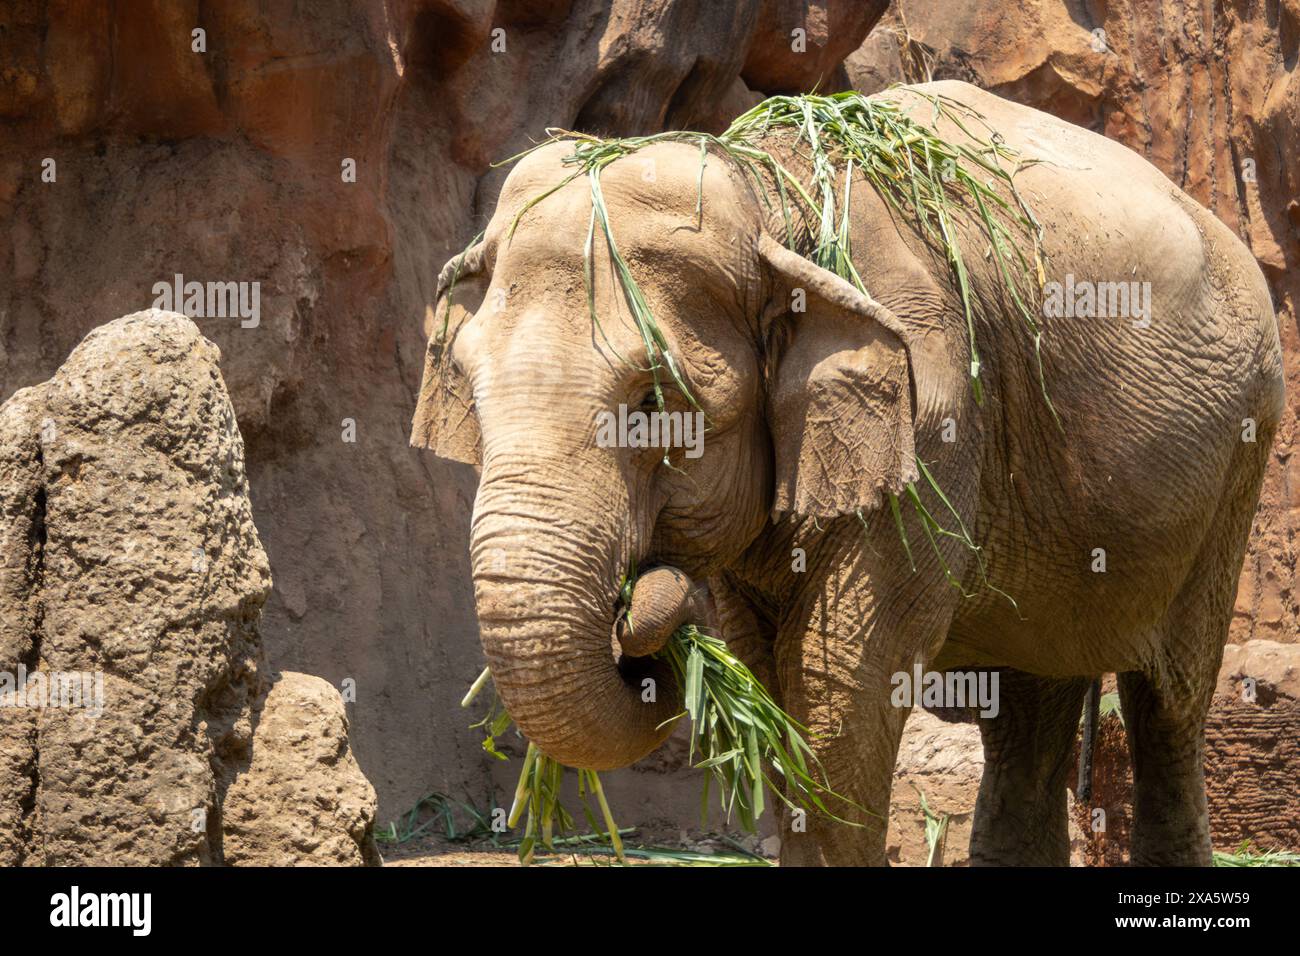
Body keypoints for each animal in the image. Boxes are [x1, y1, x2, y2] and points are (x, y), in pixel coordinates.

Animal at [411, 80, 1285, 866]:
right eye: (470, 390)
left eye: (655, 401)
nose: (639, 603)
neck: (772, 195)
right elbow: (767, 670)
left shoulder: (934, 416)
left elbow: (837, 674)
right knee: (1030, 696)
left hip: (1238, 463)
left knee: (1170, 700)